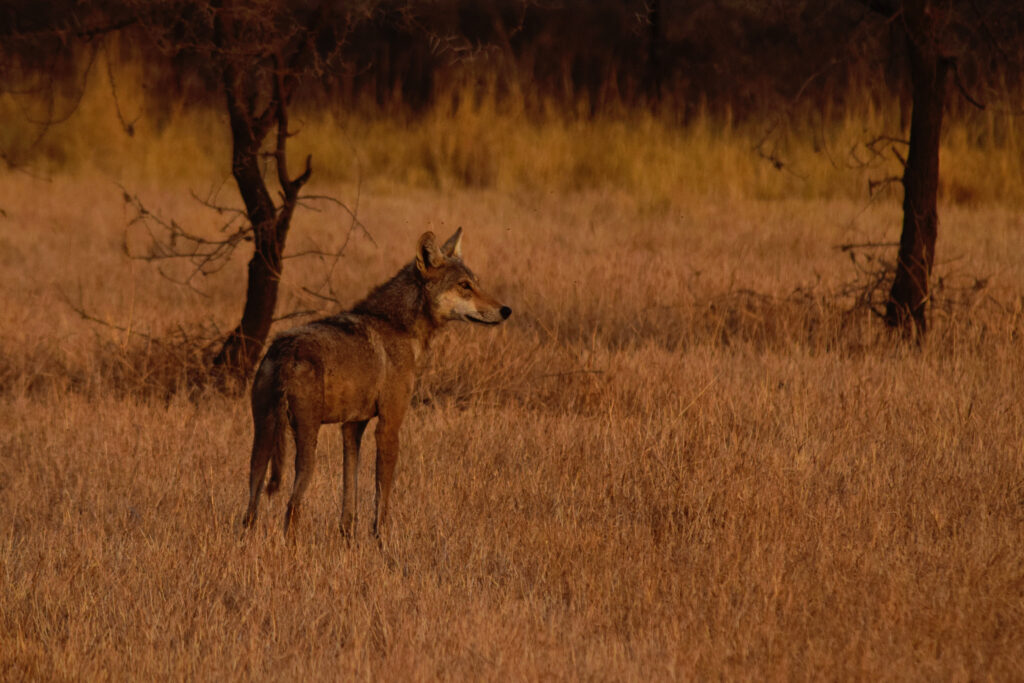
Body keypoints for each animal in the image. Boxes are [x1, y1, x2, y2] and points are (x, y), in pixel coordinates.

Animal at [241, 228, 511, 538]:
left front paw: (347, 538)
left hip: (261, 444)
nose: (506, 310)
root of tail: (286, 350)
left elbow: (350, 494)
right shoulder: (389, 426)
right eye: (464, 286)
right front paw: (381, 540)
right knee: (292, 506)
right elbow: (382, 496)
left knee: (250, 509)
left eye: (477, 283)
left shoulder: (352, 427)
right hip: (306, 443)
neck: (399, 326)